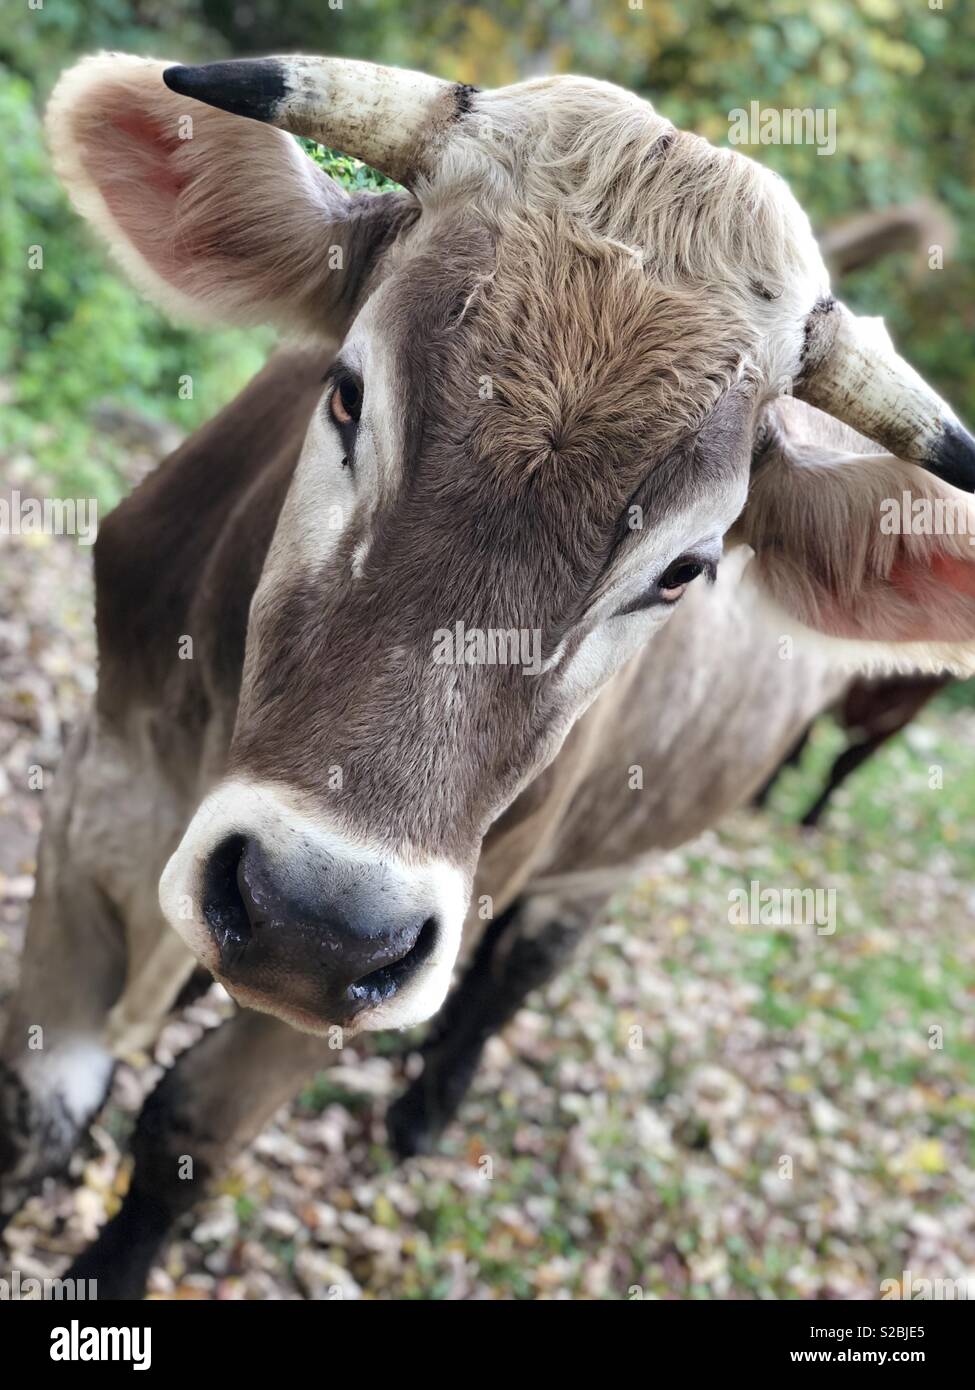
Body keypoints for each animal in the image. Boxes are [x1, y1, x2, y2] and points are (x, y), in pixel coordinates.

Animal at [1, 51, 974, 1299]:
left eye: (685, 568)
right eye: (346, 392)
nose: (314, 919)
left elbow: (191, 1129)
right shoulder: (105, 775)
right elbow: (40, 1101)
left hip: (604, 864)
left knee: (514, 976)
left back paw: (427, 1105)